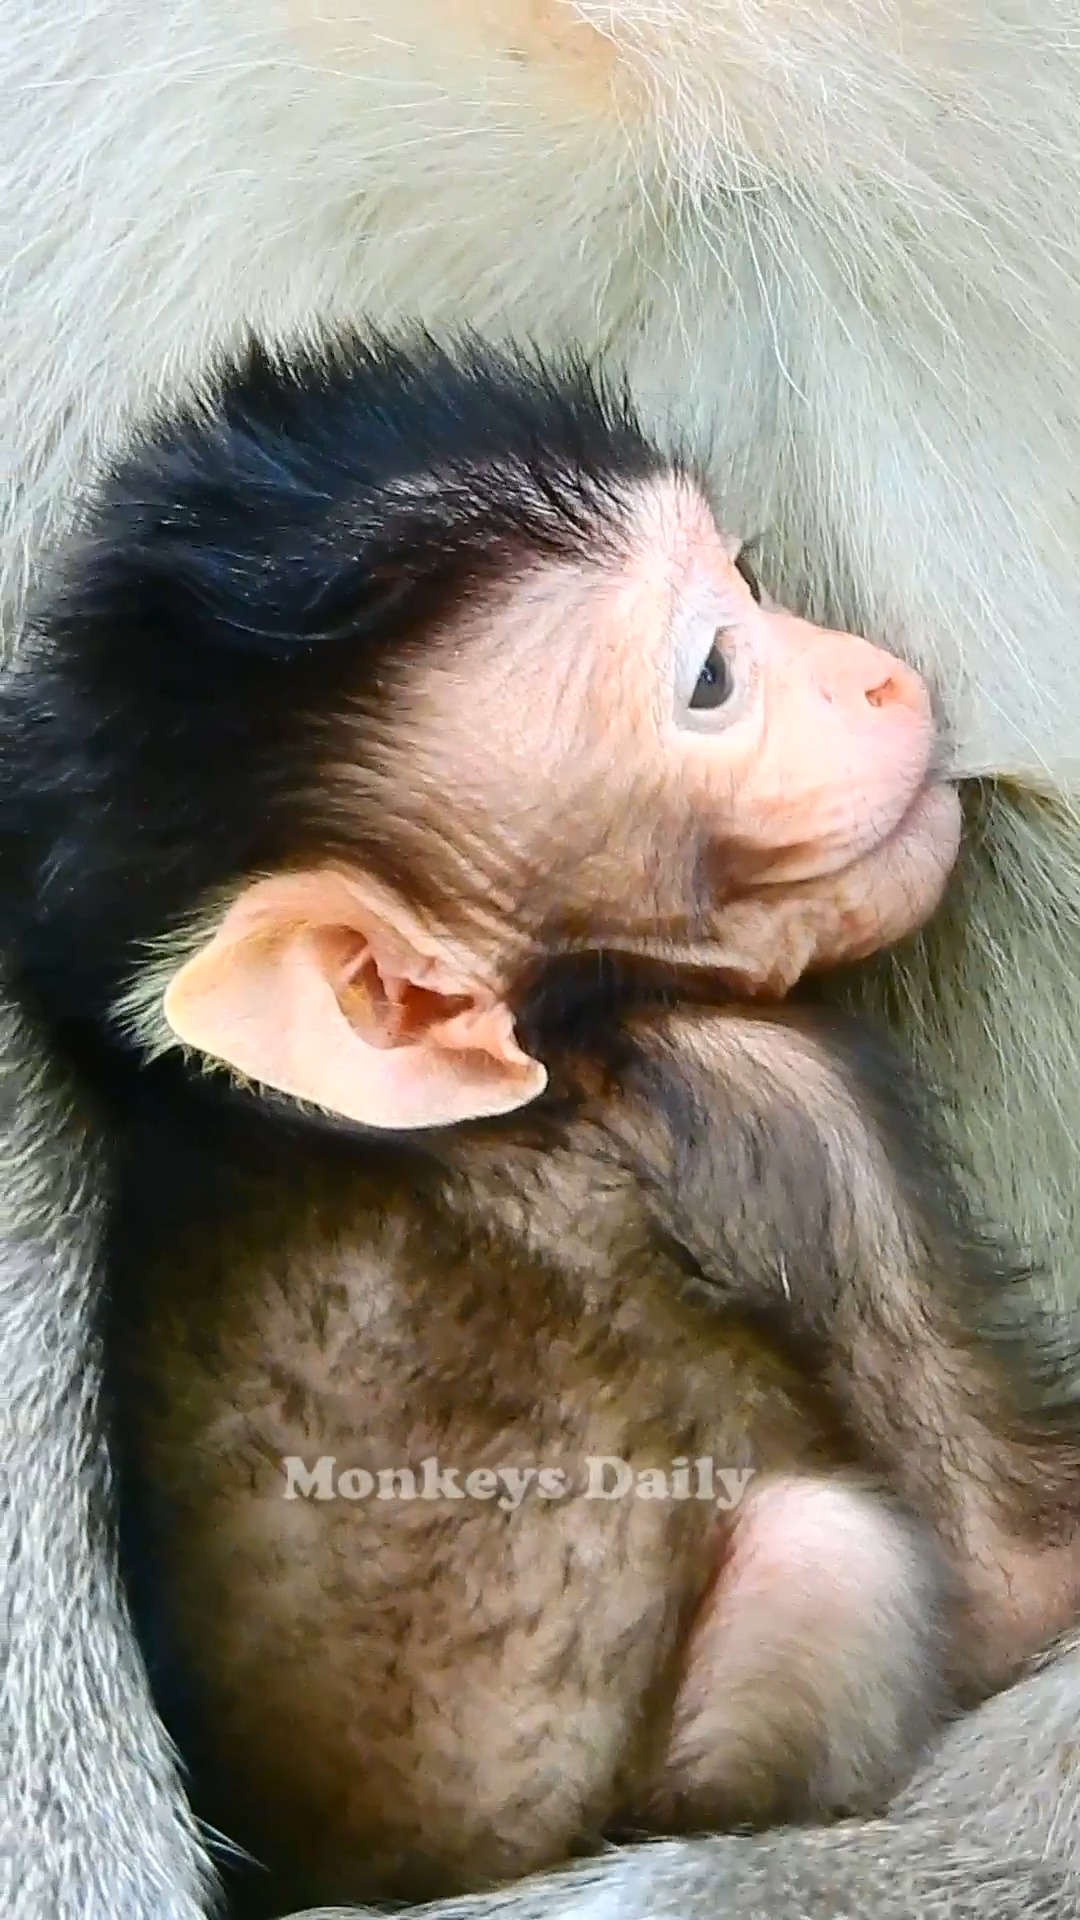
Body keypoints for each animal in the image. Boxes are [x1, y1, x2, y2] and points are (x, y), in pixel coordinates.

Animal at [7, 7, 1080, 1920]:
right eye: (713, 674)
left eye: (749, 573)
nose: (876, 678)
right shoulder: (767, 1113)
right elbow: (1016, 1565)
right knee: (828, 1561)